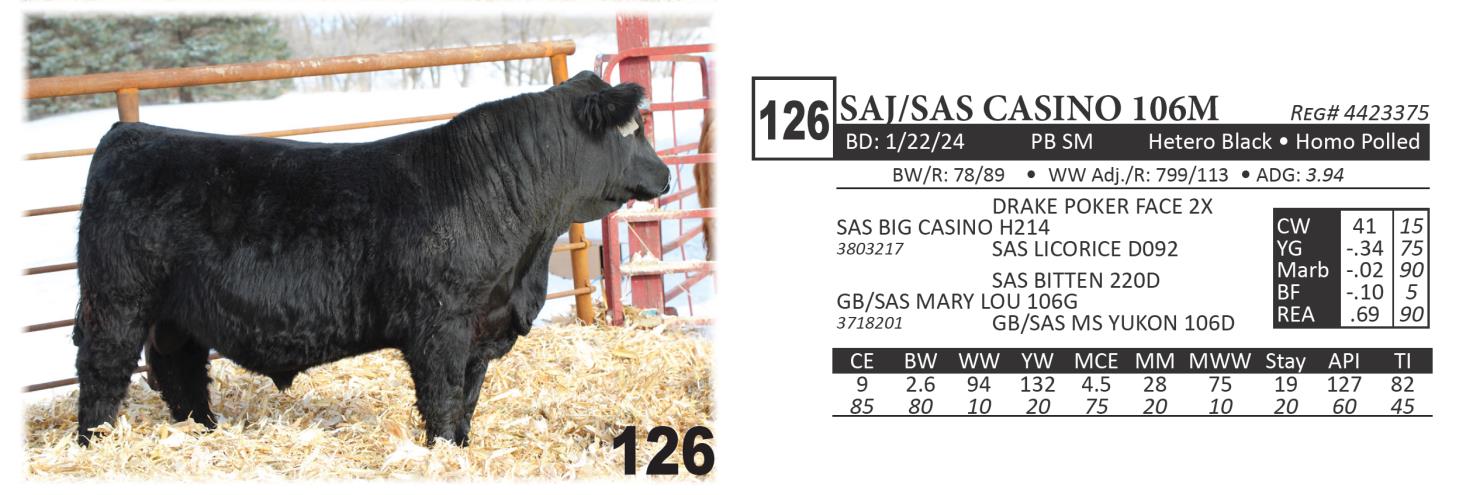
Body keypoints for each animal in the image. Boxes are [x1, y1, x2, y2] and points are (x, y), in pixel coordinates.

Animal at [72, 70, 668, 446]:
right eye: (633, 131)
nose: (665, 175)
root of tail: (128, 132)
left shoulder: (482, 324)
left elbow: (468, 398)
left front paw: (463, 449)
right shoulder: (440, 325)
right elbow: (443, 397)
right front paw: (442, 450)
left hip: (177, 314)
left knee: (181, 372)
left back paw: (205, 431)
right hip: (117, 301)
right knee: (102, 371)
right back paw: (93, 443)